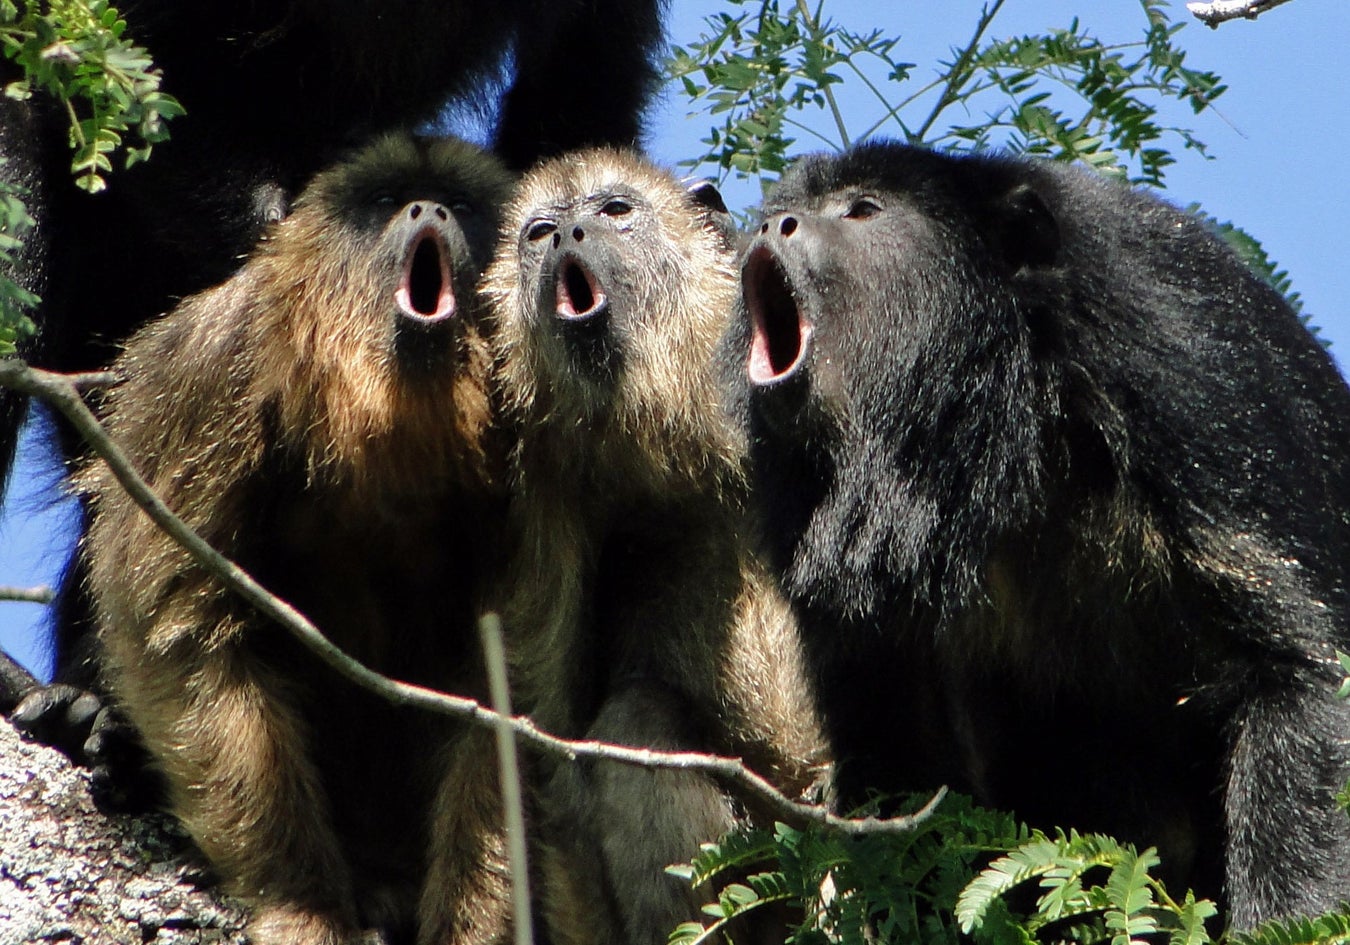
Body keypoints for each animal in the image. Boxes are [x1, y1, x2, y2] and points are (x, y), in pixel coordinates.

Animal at [75, 132, 517, 945]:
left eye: (461, 203)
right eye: (387, 200)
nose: (429, 209)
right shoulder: (216, 367)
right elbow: (187, 633)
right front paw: (303, 905)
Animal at [484, 149, 831, 945]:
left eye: (614, 212)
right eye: (538, 232)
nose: (566, 235)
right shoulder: (546, 486)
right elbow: (549, 741)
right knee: (640, 718)